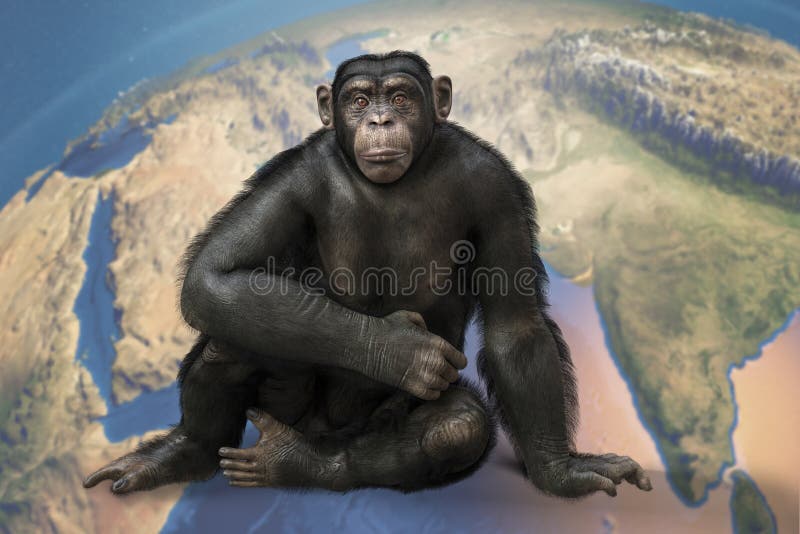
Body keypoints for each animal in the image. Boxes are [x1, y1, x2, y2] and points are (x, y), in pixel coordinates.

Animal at [83, 51, 652, 498]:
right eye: (358, 101)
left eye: (400, 97)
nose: (379, 120)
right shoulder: (296, 174)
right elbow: (215, 276)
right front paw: (400, 350)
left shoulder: (496, 187)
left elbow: (517, 327)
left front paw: (560, 471)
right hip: (287, 407)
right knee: (231, 338)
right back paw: (186, 453)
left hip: (353, 431)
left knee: (457, 425)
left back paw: (299, 465)